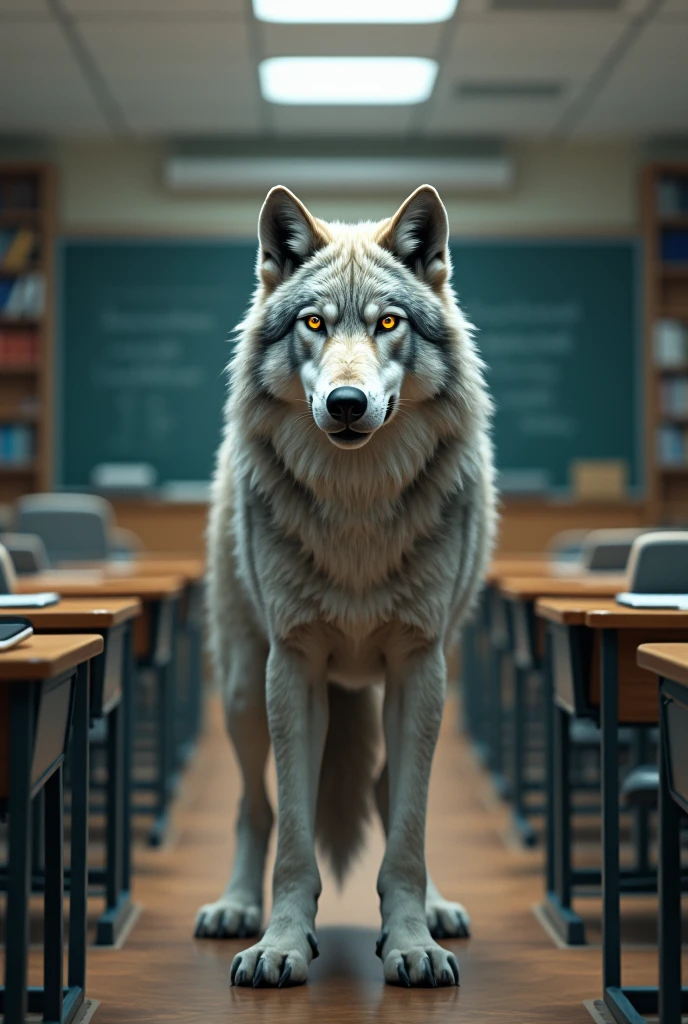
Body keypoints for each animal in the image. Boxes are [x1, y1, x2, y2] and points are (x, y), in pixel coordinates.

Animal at [195, 184, 497, 989]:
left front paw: (413, 942)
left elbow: (409, 834)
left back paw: (438, 910)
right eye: (314, 324)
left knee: (393, 794)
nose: (347, 404)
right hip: (242, 690)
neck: (357, 507)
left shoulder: (420, 665)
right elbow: (295, 840)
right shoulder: (292, 669)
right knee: (255, 809)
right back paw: (235, 906)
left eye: (389, 323)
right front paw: (280, 944)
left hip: (427, 683)